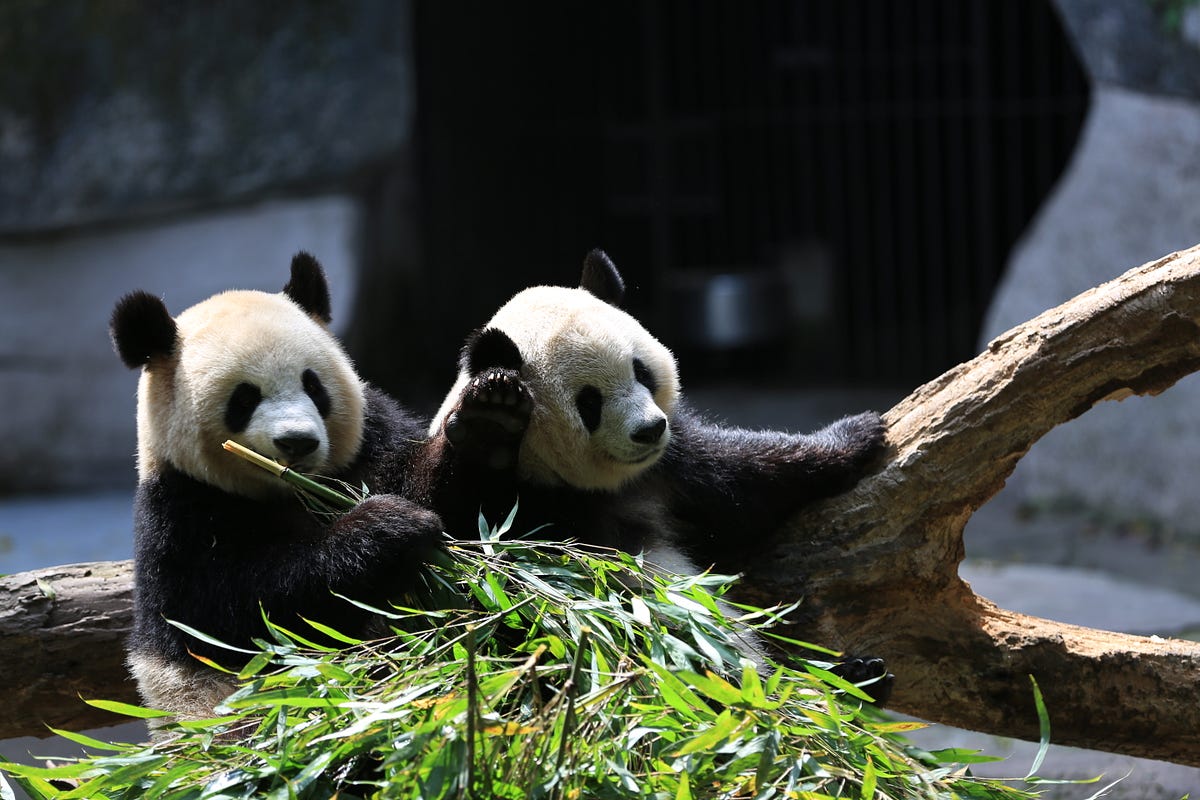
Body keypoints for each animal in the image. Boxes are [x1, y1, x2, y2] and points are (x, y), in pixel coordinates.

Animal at [110, 252, 442, 725]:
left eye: (313, 385)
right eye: (244, 398)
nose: (297, 442)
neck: (292, 490)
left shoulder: (371, 444)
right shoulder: (180, 516)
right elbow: (250, 612)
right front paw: (388, 527)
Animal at [410, 249, 891, 698]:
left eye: (640, 371)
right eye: (589, 402)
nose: (649, 429)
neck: (589, 485)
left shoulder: (669, 470)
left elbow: (749, 479)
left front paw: (856, 432)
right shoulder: (518, 508)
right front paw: (490, 422)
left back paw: (859, 675)